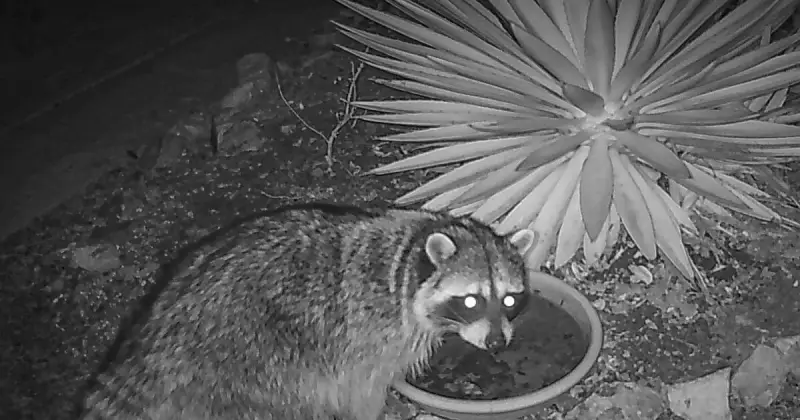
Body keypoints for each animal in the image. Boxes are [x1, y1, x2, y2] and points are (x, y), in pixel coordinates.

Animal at [78, 202, 537, 420]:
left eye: (509, 300)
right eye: (471, 300)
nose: (498, 343)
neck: (407, 261)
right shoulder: (365, 337)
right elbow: (360, 392)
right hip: (250, 360)